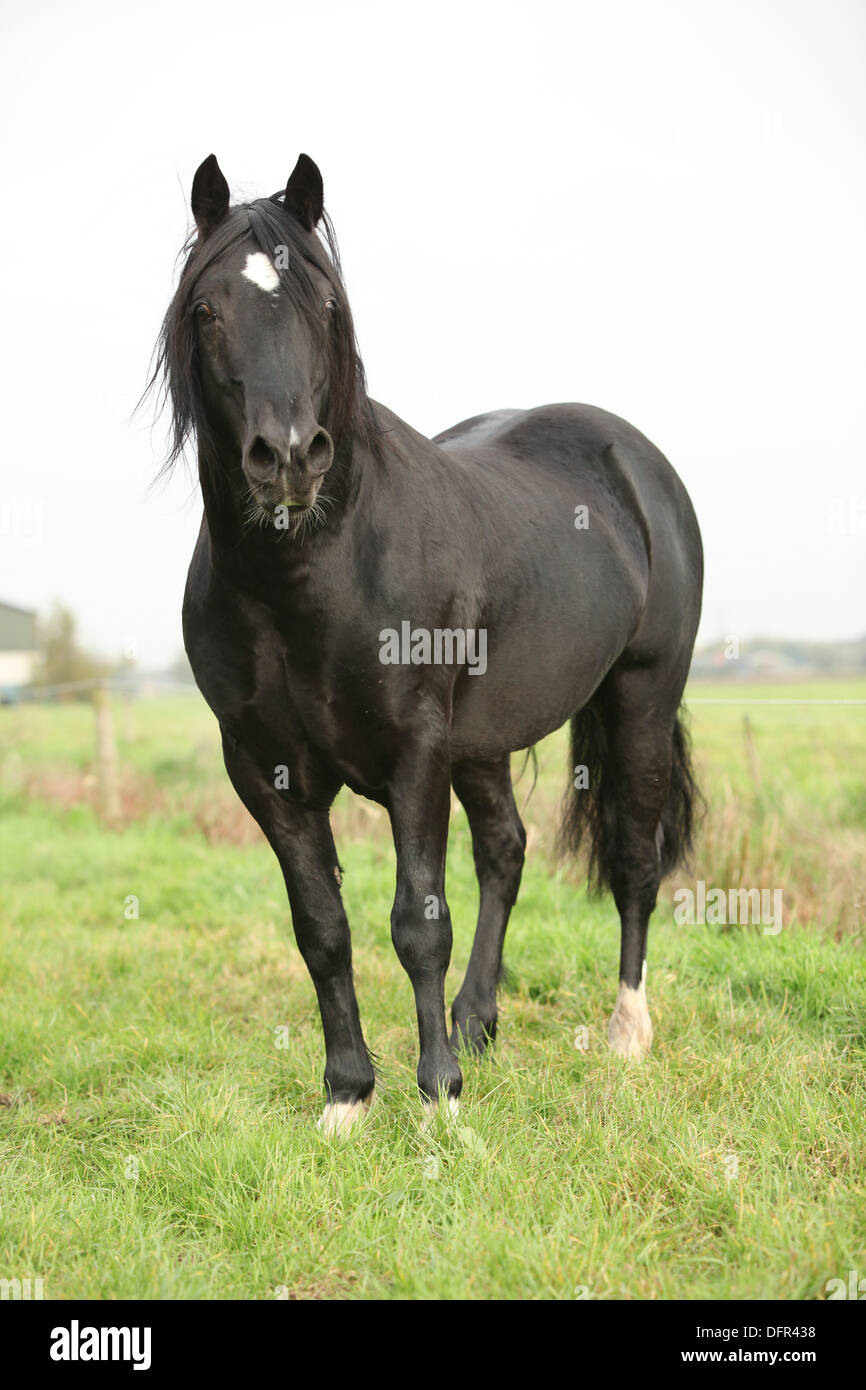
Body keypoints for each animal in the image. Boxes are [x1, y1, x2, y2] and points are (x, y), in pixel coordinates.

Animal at [149, 152, 703, 1135]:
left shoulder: (414, 754)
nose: (288, 459)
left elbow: (418, 922)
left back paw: (627, 1033)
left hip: (640, 696)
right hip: (481, 742)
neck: (312, 574)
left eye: (325, 304)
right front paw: (347, 1096)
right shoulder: (265, 772)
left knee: (635, 858)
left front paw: (439, 1098)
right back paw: (477, 1021)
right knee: (507, 851)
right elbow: (323, 930)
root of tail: (637, 462)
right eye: (208, 308)